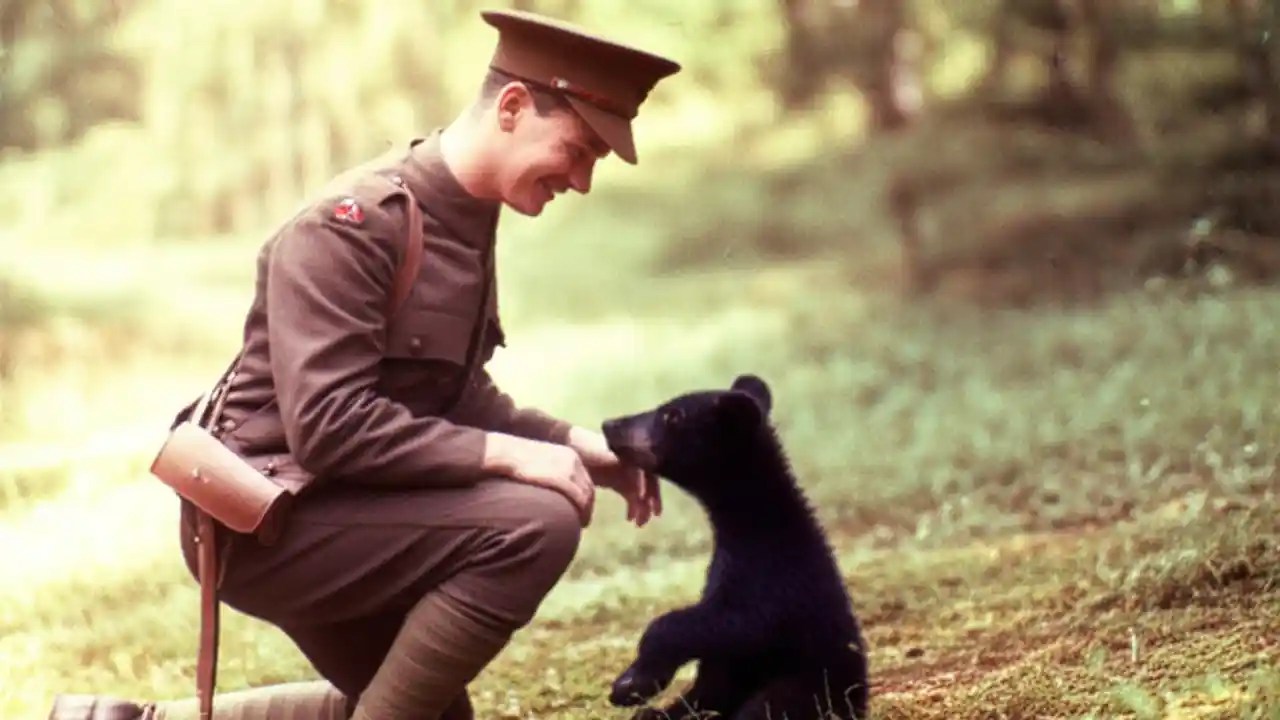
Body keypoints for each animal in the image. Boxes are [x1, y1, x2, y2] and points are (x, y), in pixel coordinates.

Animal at [600, 374, 869, 720]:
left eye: (672, 416)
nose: (610, 424)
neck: (745, 526)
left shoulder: (775, 577)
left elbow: (739, 622)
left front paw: (632, 681)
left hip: (805, 686)